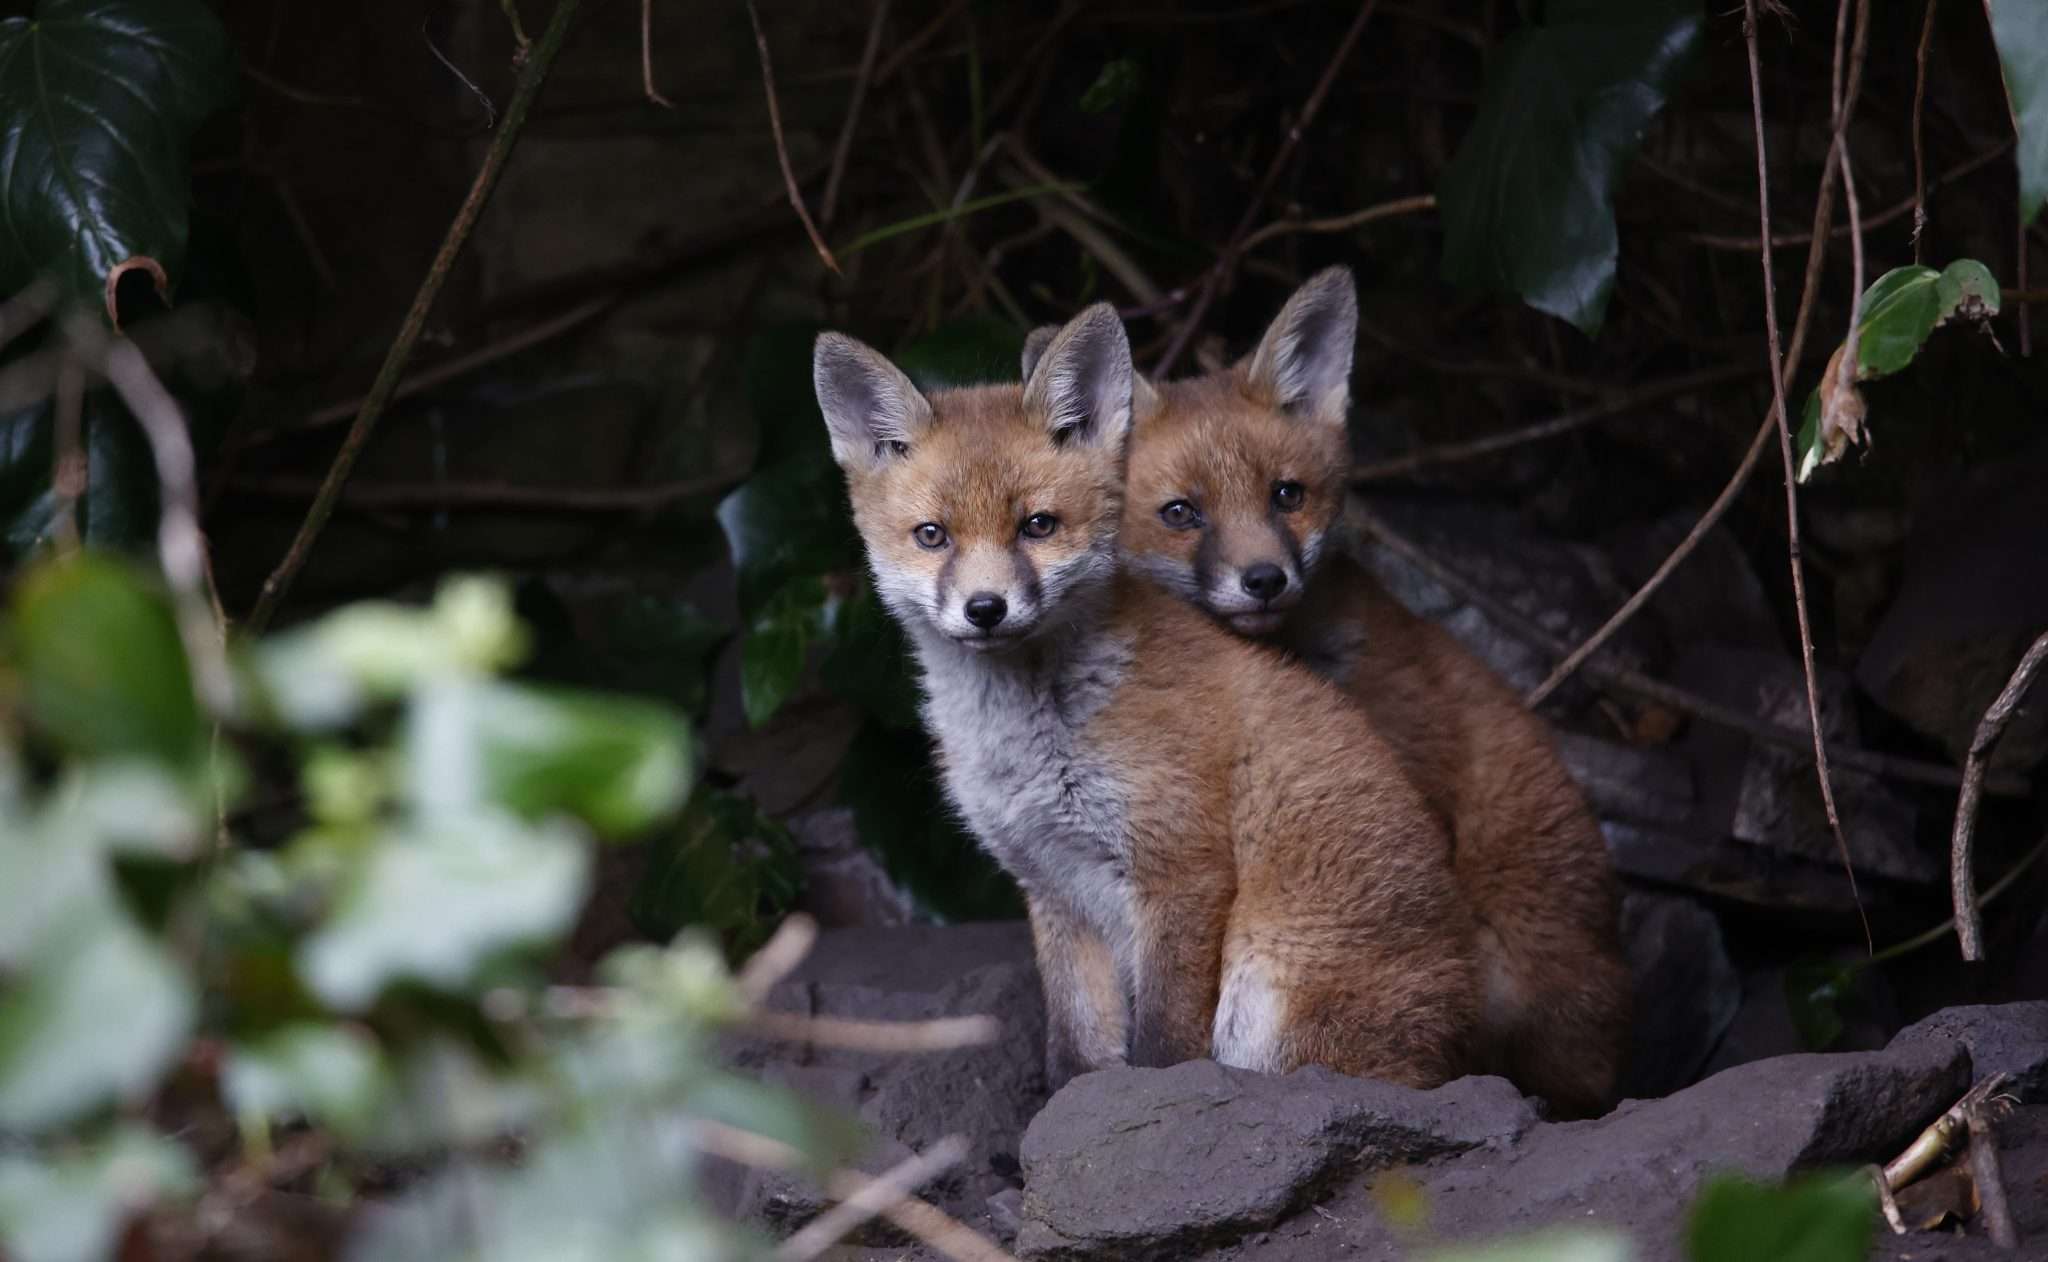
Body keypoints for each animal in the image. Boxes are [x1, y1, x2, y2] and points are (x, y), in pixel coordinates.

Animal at [812, 303, 1482, 1093]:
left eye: (1037, 525)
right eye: (932, 536)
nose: (986, 608)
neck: (1034, 742)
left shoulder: (1181, 868)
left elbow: (1163, 1050)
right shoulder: (1054, 885)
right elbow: (1076, 1053)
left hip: (1267, 989)